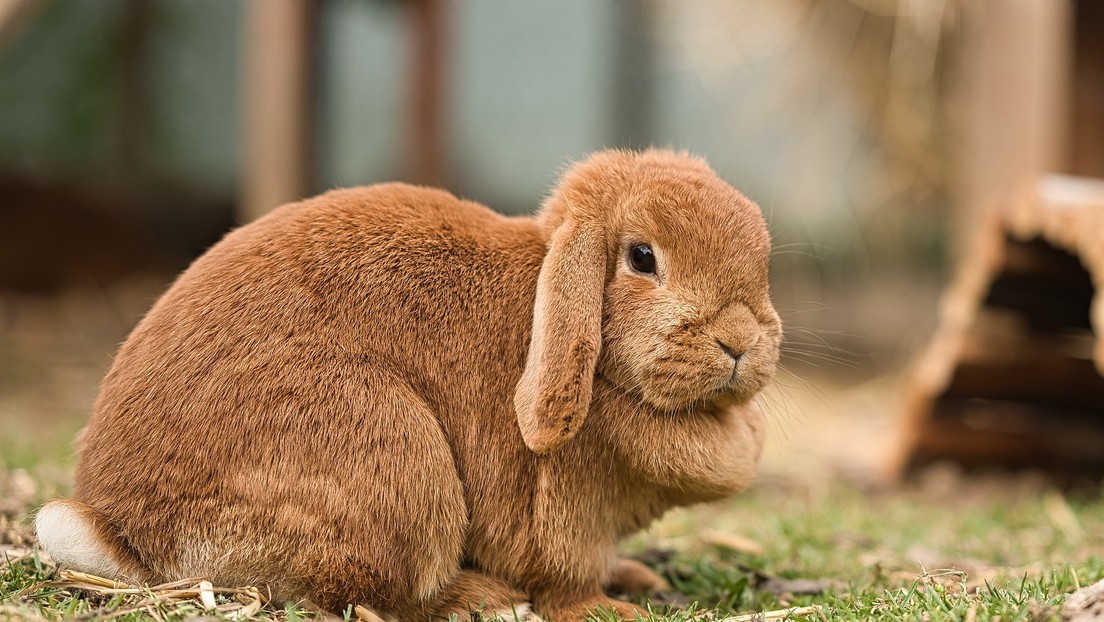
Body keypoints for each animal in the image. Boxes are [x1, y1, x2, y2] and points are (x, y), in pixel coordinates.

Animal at [35, 149, 779, 621]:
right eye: (642, 258)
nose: (741, 340)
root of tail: (121, 533)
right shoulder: (566, 516)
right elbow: (566, 583)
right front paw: (611, 608)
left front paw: (636, 577)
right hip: (395, 462)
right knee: (376, 597)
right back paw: (482, 599)